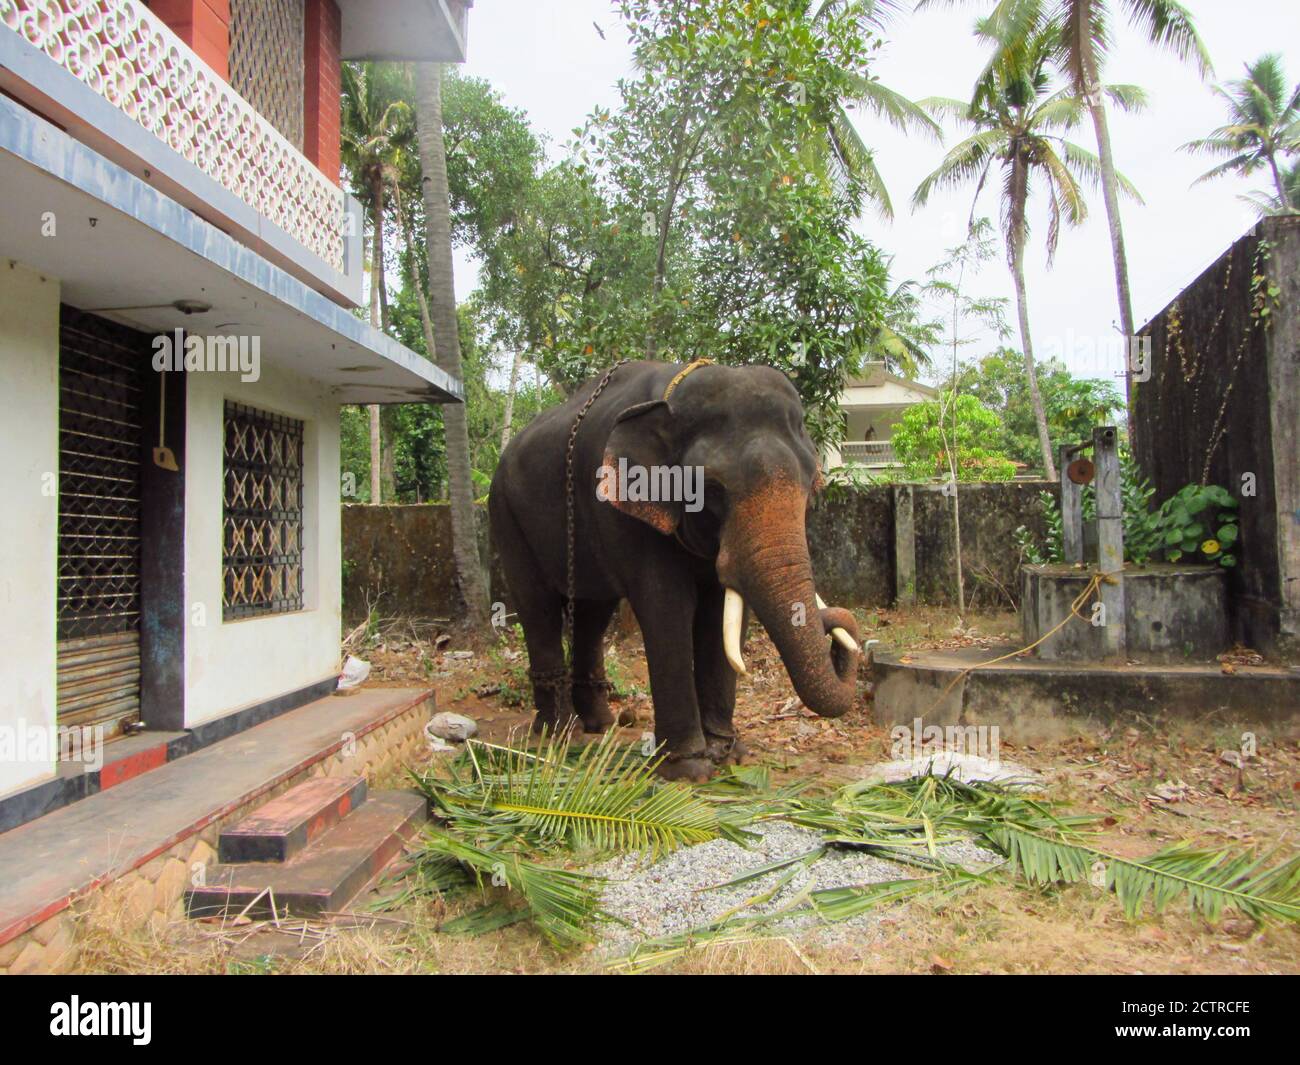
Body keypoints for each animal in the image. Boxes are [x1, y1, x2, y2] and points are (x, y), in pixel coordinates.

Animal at [488, 359, 861, 781]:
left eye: (811, 486)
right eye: (711, 489)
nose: (835, 627)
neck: (674, 394)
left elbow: (718, 611)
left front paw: (728, 754)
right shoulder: (625, 510)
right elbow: (666, 607)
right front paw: (689, 769)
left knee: (593, 613)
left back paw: (601, 725)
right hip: (505, 514)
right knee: (539, 609)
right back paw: (560, 734)